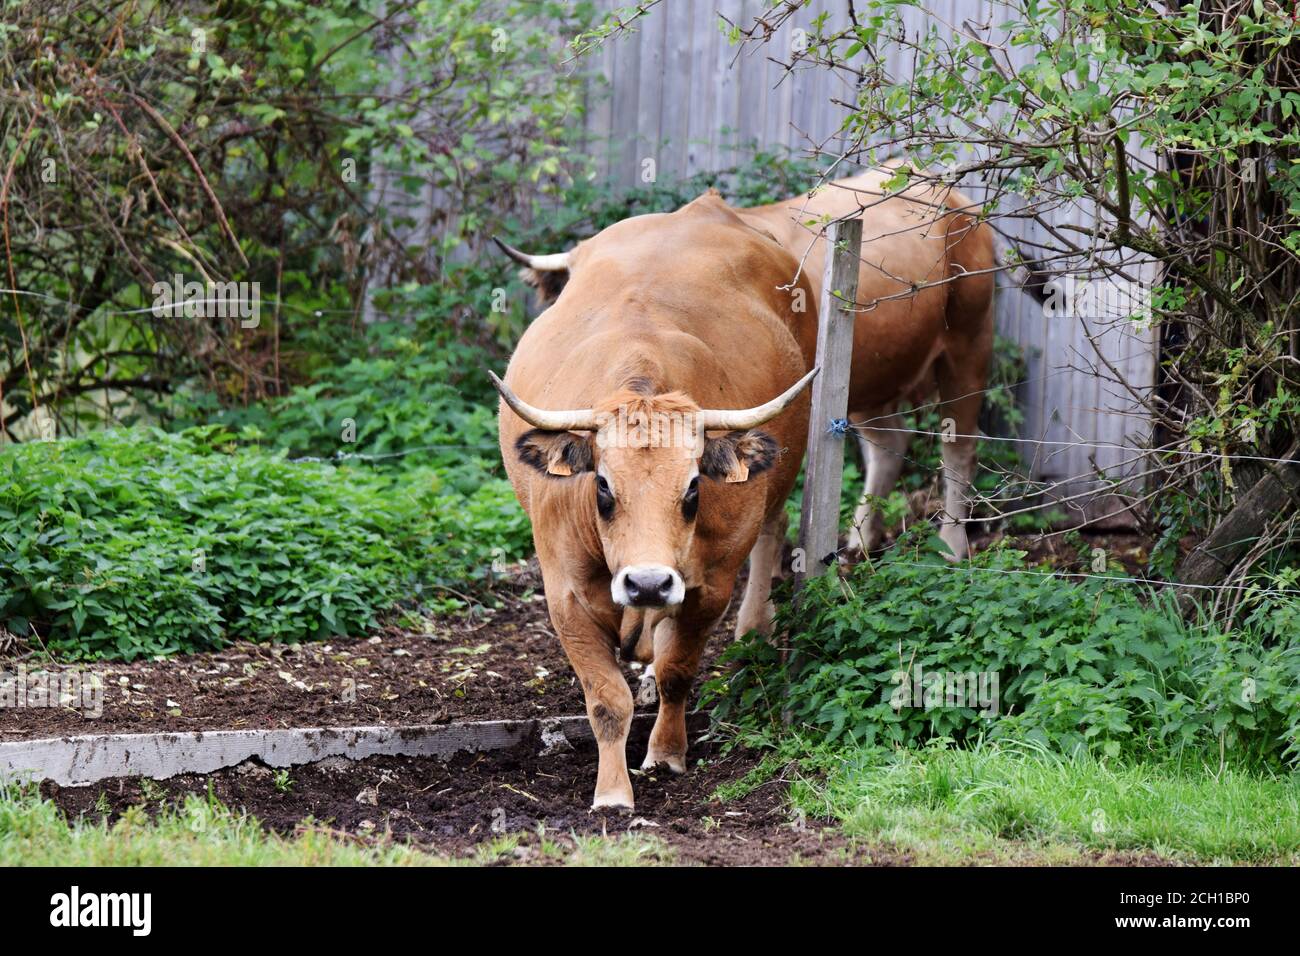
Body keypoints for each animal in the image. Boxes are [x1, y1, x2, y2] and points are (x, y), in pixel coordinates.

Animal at [492, 193, 819, 810]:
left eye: (692, 487)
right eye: (601, 485)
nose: (647, 583)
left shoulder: (709, 587)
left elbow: (677, 671)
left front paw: (666, 754)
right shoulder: (565, 595)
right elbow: (605, 699)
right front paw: (612, 792)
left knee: (772, 528)